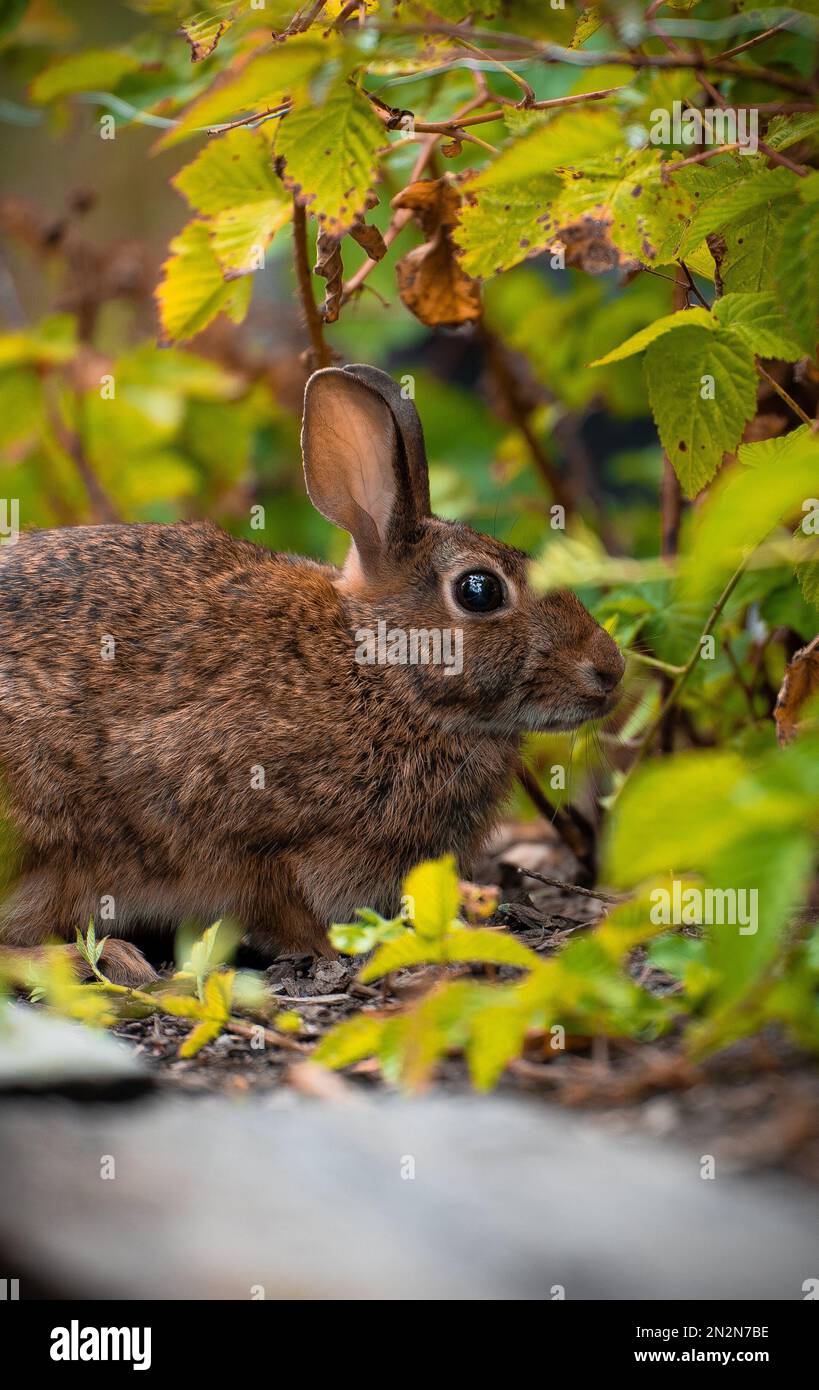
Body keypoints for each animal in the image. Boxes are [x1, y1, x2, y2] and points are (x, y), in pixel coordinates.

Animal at [0, 364, 624, 986]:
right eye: (480, 590)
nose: (610, 669)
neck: (381, 672)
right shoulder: (235, 825)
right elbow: (278, 904)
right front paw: (330, 950)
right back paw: (105, 957)